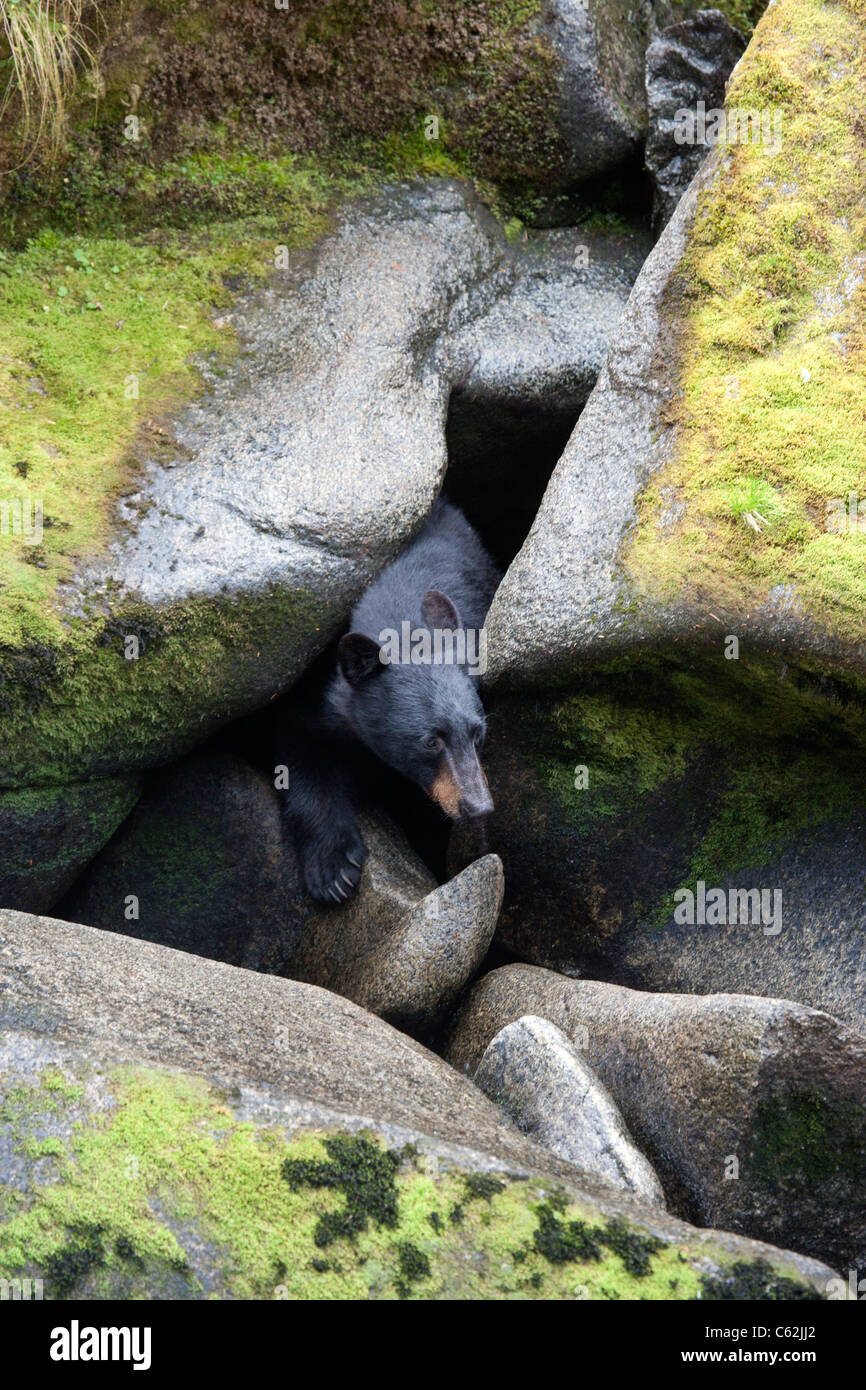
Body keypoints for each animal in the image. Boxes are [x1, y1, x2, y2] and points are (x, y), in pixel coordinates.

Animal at [276, 498, 500, 903]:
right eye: (430, 741)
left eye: (478, 733)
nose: (479, 806)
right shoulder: (320, 699)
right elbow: (299, 752)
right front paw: (334, 871)